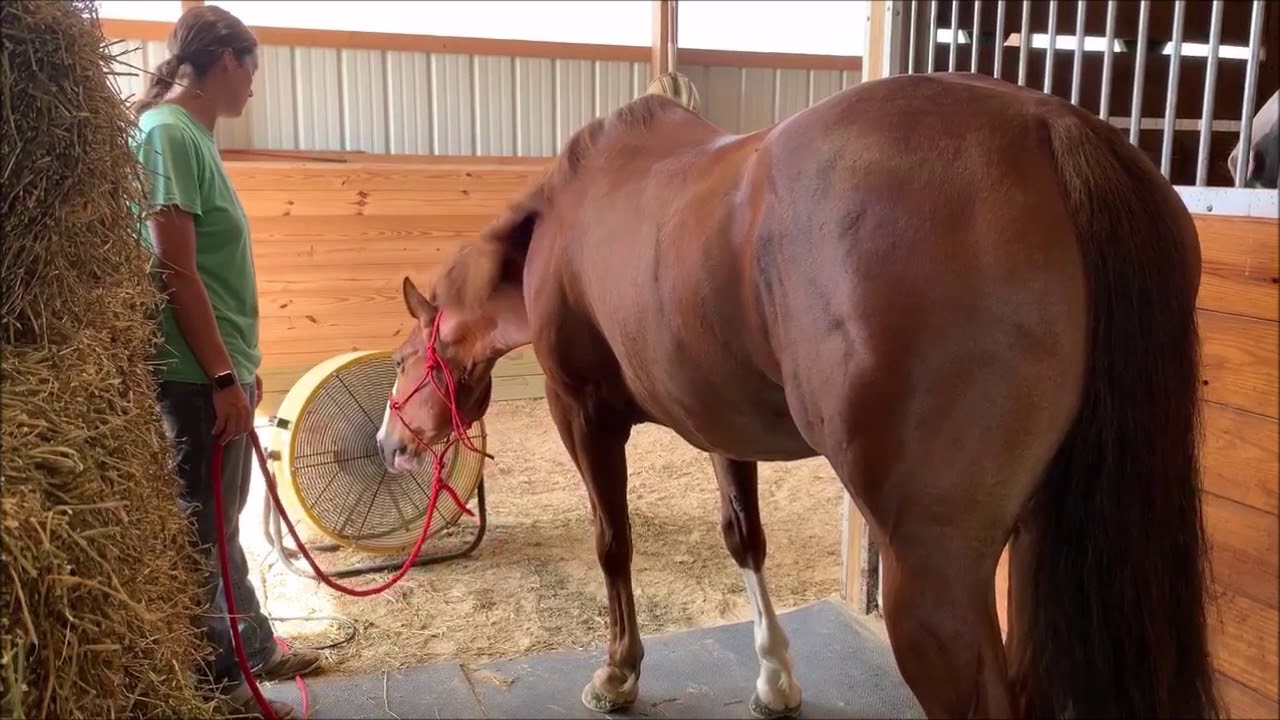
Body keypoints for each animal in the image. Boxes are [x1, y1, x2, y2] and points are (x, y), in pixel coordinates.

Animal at [375, 71, 1220, 719]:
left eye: (408, 357)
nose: (388, 444)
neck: (560, 228)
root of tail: (1050, 126)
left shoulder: (581, 410)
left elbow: (612, 541)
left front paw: (617, 675)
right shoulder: (720, 425)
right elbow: (744, 538)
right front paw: (775, 679)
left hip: (934, 574)